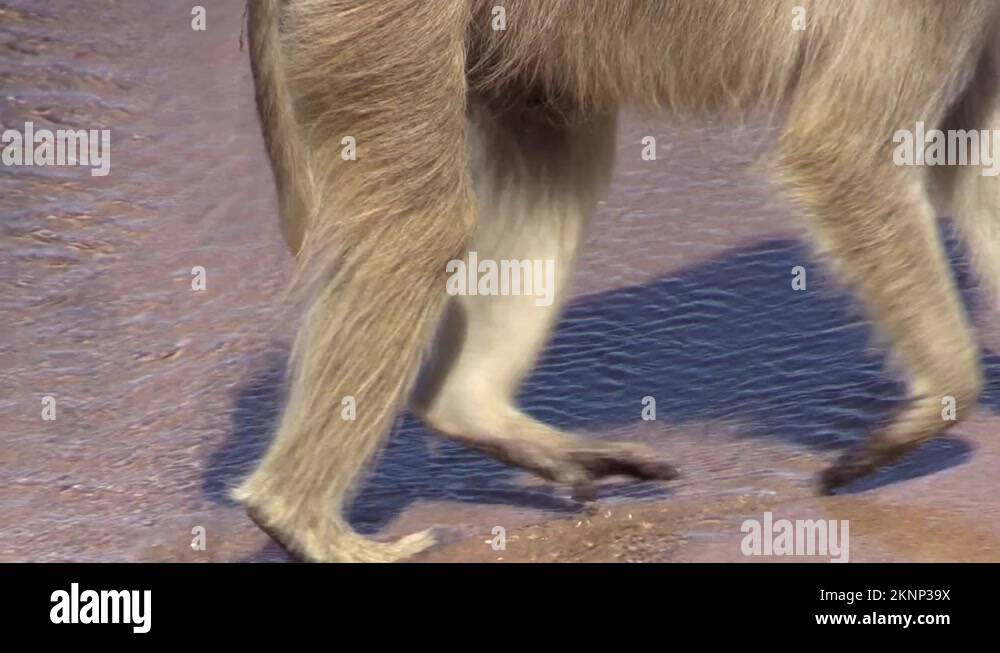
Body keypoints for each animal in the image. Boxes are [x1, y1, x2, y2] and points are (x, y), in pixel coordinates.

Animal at [234, 0, 1000, 562]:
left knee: (556, 149)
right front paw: (944, 397)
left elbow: (966, 167)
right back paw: (300, 518)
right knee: (422, 222)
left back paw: (468, 410)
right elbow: (844, 157)